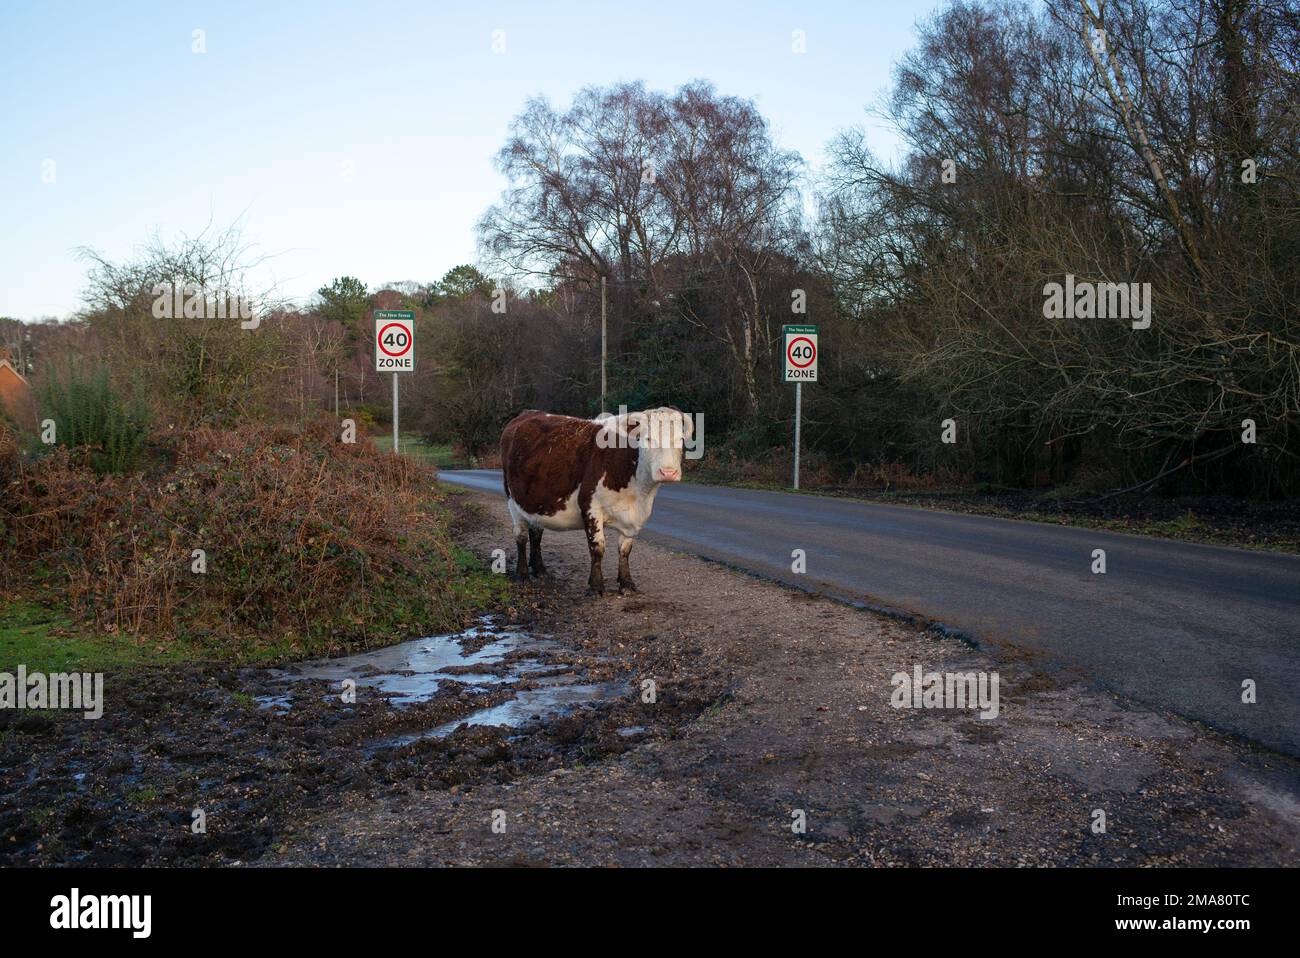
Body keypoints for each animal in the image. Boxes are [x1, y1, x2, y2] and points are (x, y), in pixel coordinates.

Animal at [500, 407, 693, 594]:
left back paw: (540, 570)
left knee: (536, 533)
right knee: (521, 536)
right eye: (648, 439)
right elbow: (597, 547)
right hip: (513, 500)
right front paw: (596, 586)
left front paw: (626, 583)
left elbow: (625, 550)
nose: (668, 472)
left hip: (535, 503)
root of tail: (527, 413)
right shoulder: (590, 506)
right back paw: (522, 575)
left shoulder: (632, 516)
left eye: (680, 439)